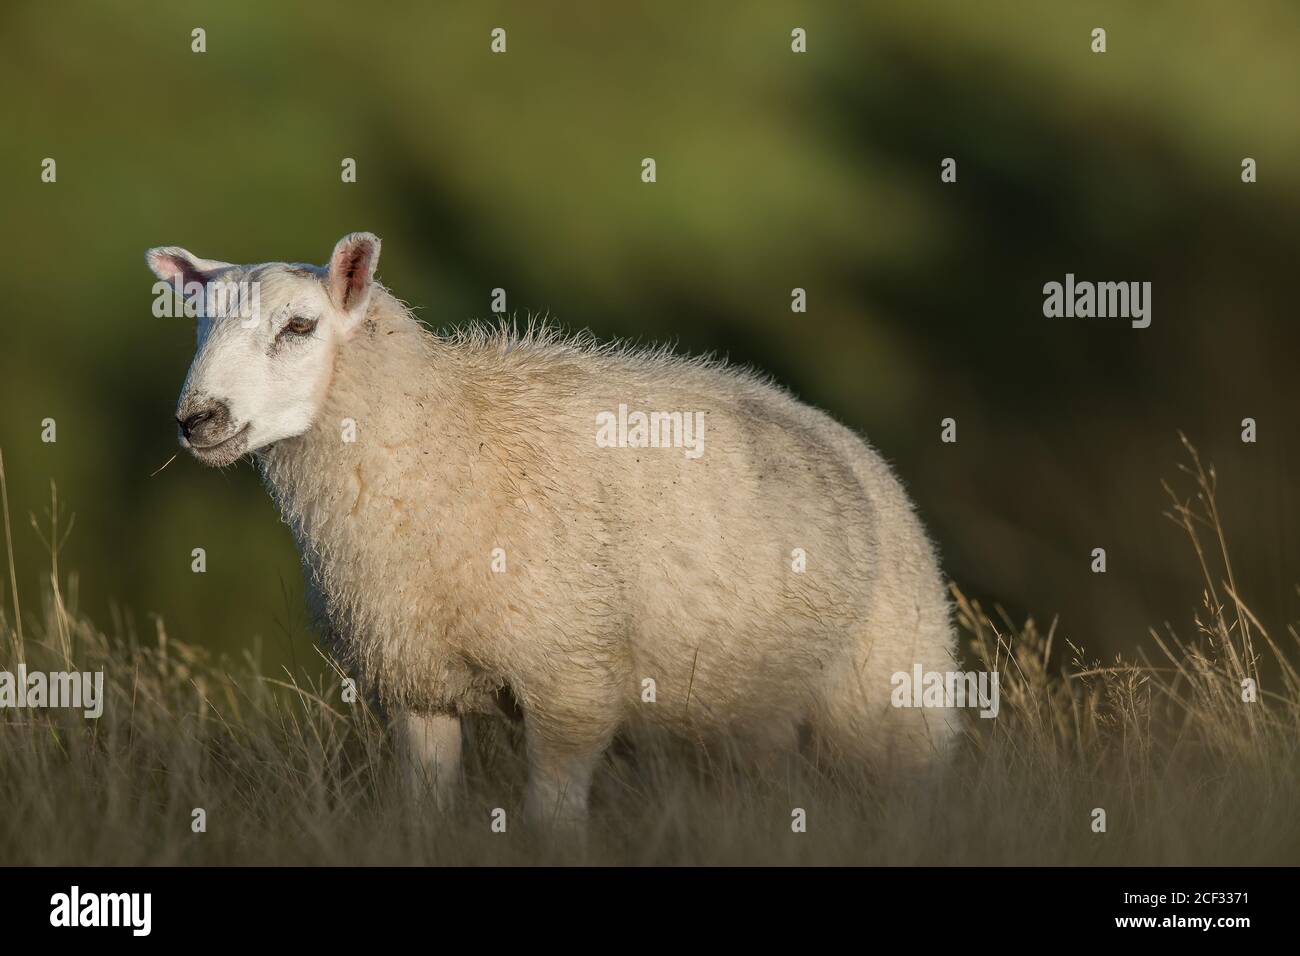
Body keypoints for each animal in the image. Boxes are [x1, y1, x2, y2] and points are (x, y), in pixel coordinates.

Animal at [147, 232, 961, 825]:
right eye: (199, 325)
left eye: (299, 326)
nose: (198, 420)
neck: (449, 438)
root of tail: (852, 444)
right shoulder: (416, 683)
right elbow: (424, 812)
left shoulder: (569, 686)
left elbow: (552, 821)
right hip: (744, 719)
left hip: (891, 699)